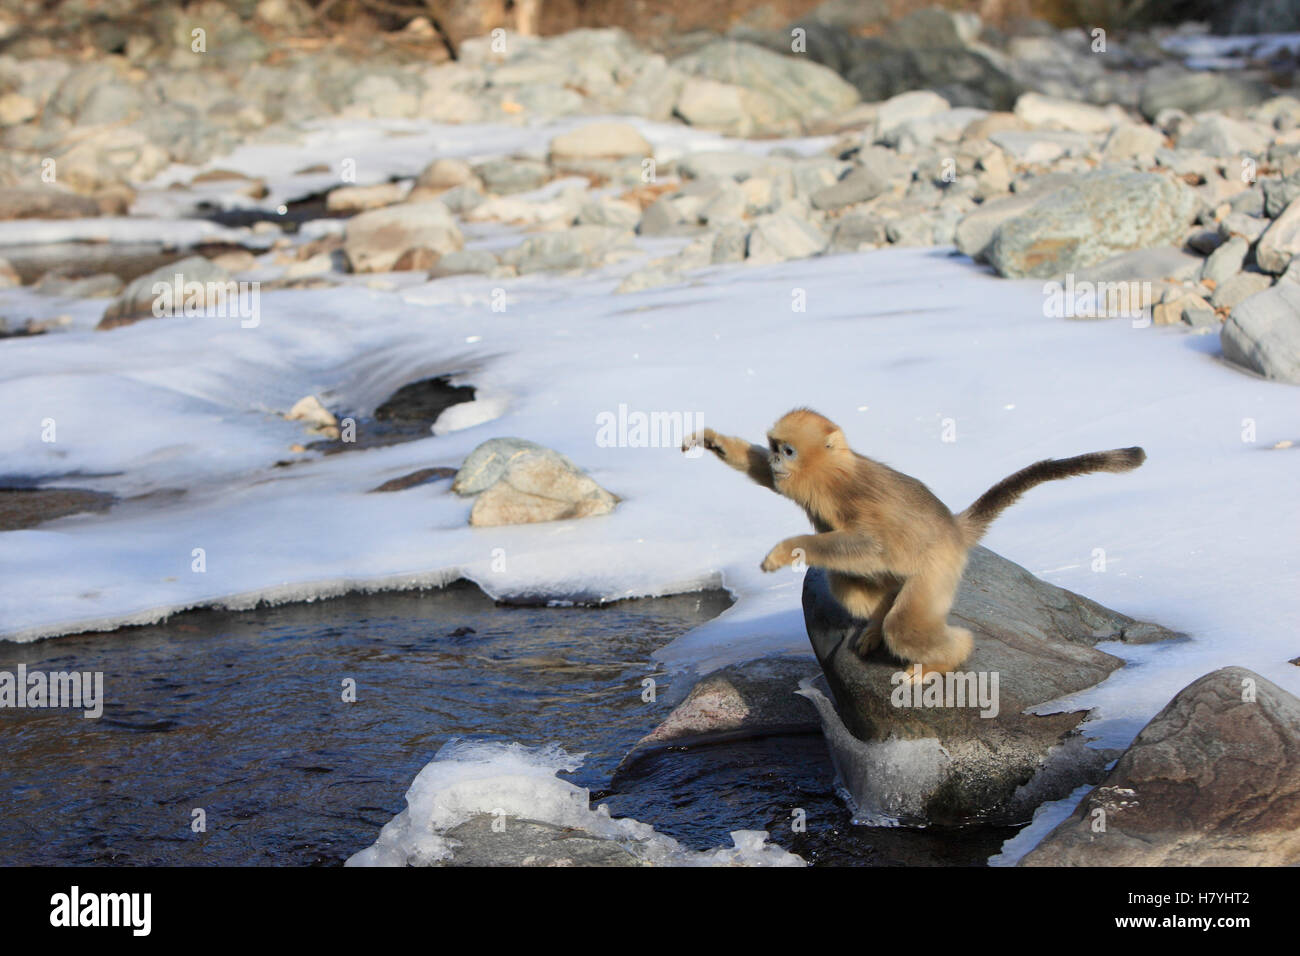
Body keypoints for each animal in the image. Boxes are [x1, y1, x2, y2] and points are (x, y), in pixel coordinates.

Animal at [682, 409, 1145, 678]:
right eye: (775, 448)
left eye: (790, 450)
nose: (779, 459)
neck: (831, 474)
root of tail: (954, 529)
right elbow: (761, 473)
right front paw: (710, 439)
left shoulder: (855, 495)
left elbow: (872, 544)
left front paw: (786, 550)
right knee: (848, 585)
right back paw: (875, 623)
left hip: (937, 570)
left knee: (903, 623)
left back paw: (946, 657)